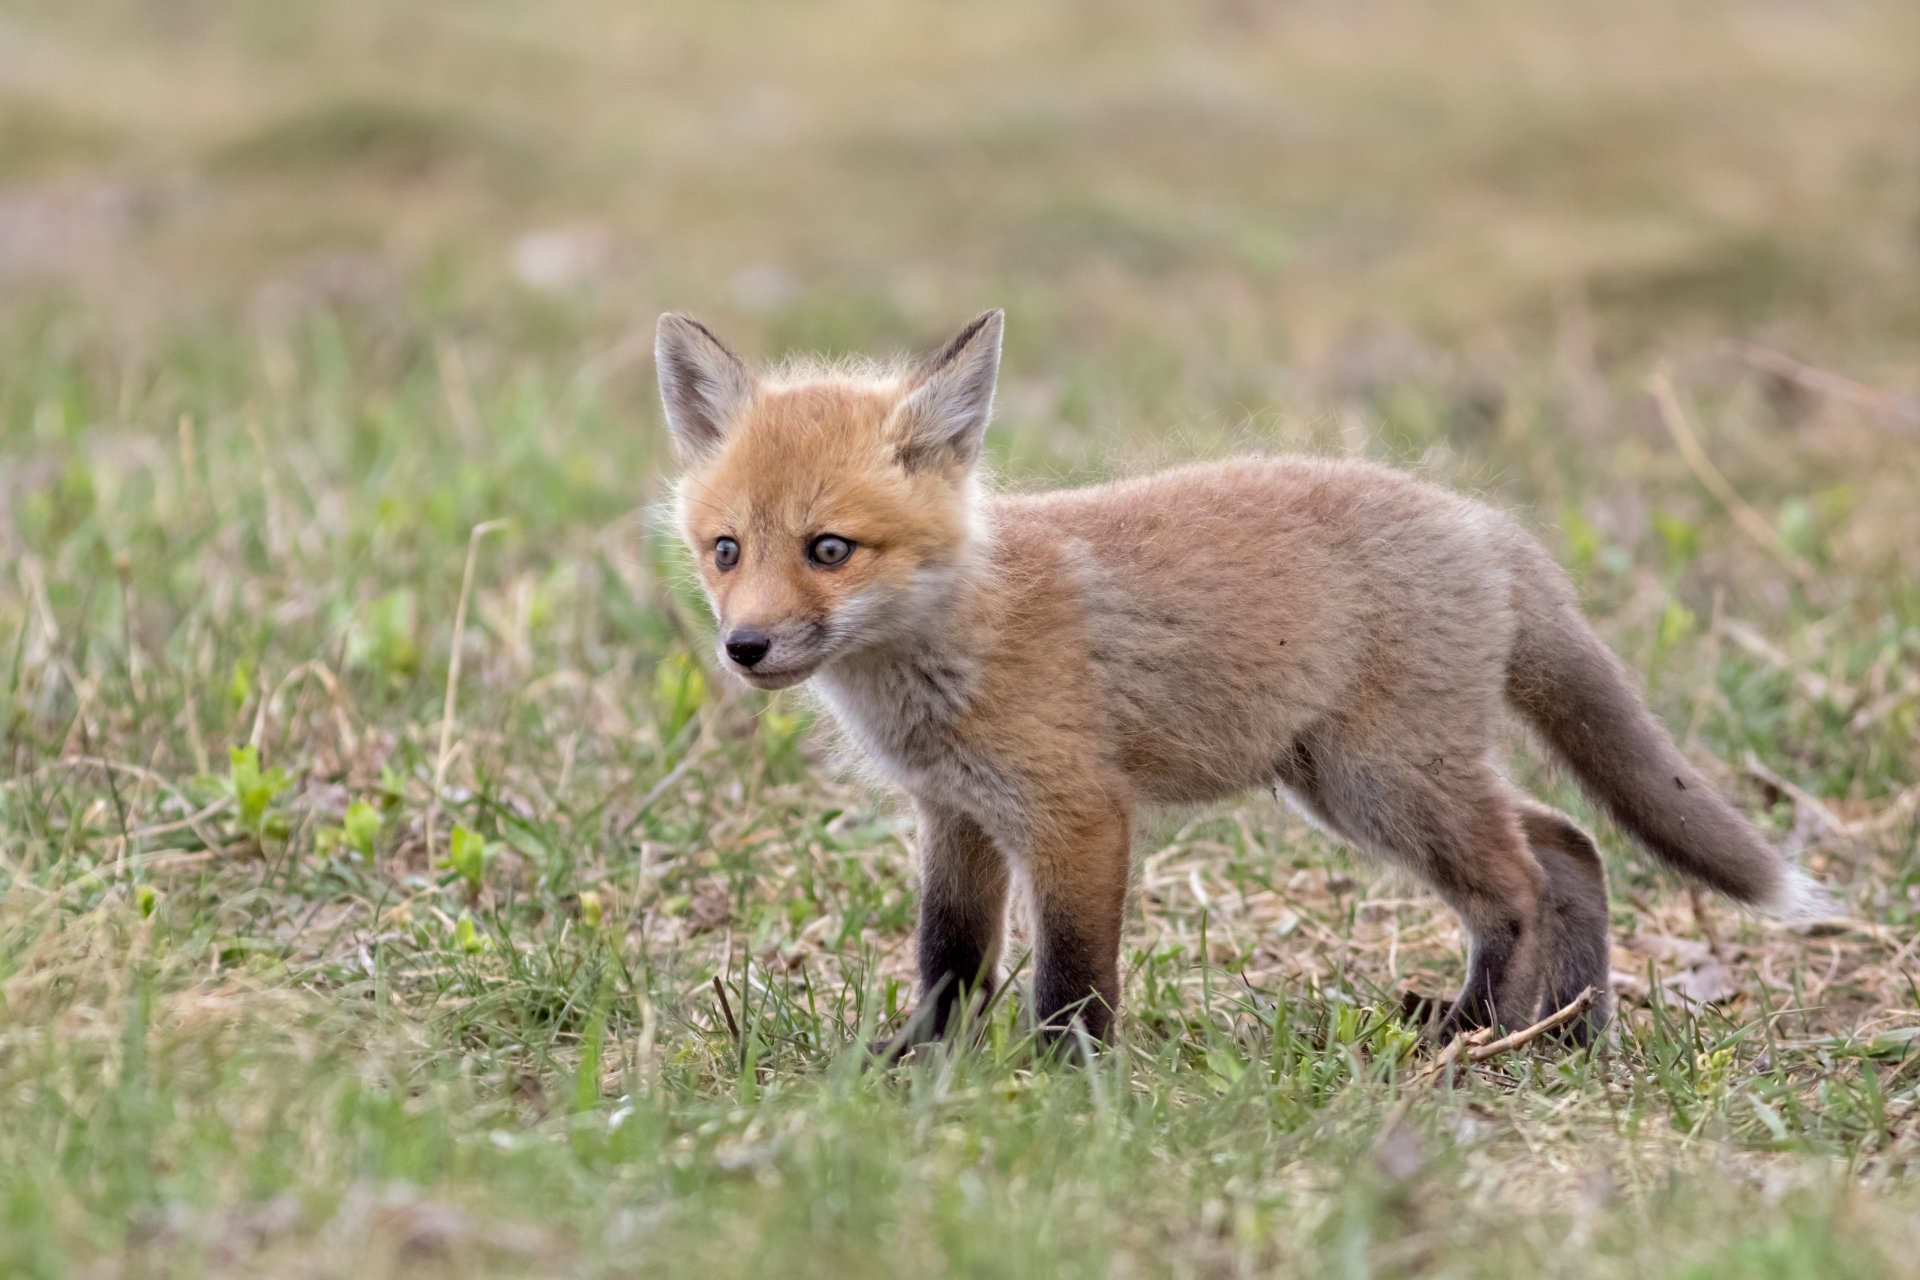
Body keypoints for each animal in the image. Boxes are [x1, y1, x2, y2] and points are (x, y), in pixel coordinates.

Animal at [656, 308, 1822, 1051]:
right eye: (727, 550)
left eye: (829, 550)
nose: (746, 647)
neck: (956, 639)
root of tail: (1483, 523)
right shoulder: (959, 817)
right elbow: (949, 958)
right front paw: (918, 1063)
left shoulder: (1080, 815)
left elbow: (1073, 978)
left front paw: (1067, 1082)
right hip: (1353, 781)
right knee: (1570, 843)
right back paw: (1566, 1032)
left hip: (1384, 780)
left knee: (1522, 882)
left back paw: (1475, 1028)